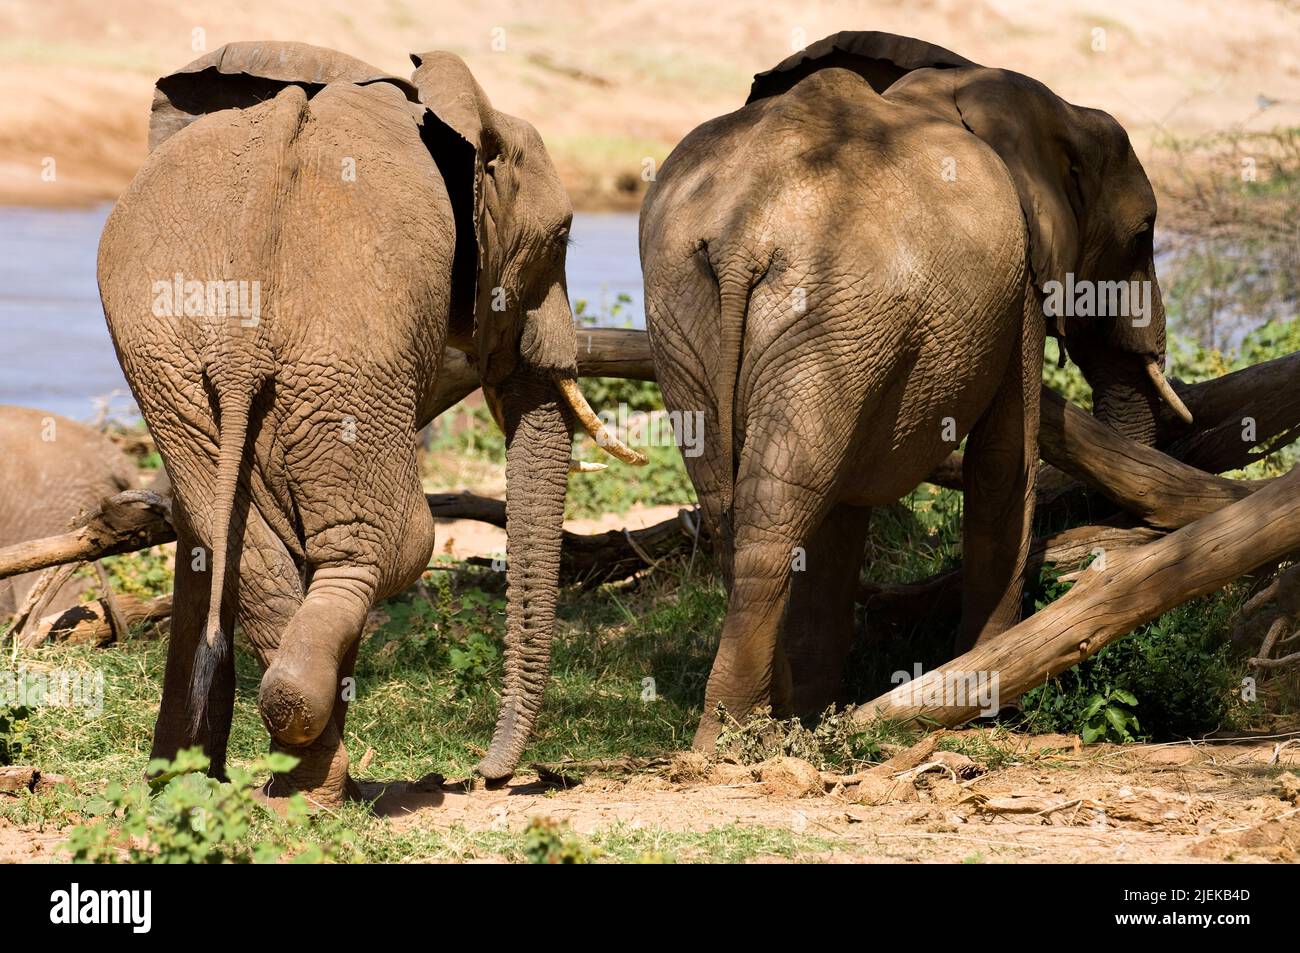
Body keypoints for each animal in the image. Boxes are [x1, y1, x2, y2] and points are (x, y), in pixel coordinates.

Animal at [98, 41, 642, 803]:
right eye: (562, 235)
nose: (491, 777)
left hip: (174, 362)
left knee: (255, 555)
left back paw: (302, 780)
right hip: (342, 349)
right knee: (392, 545)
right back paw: (321, 779)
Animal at [638, 31, 1192, 747]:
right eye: (1143, 232)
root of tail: (741, 238)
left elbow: (843, 507)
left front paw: (817, 712)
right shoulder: (1016, 281)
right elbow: (1003, 465)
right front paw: (991, 711)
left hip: (699, 309)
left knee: (740, 499)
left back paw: (761, 725)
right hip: (820, 312)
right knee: (775, 506)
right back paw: (738, 739)